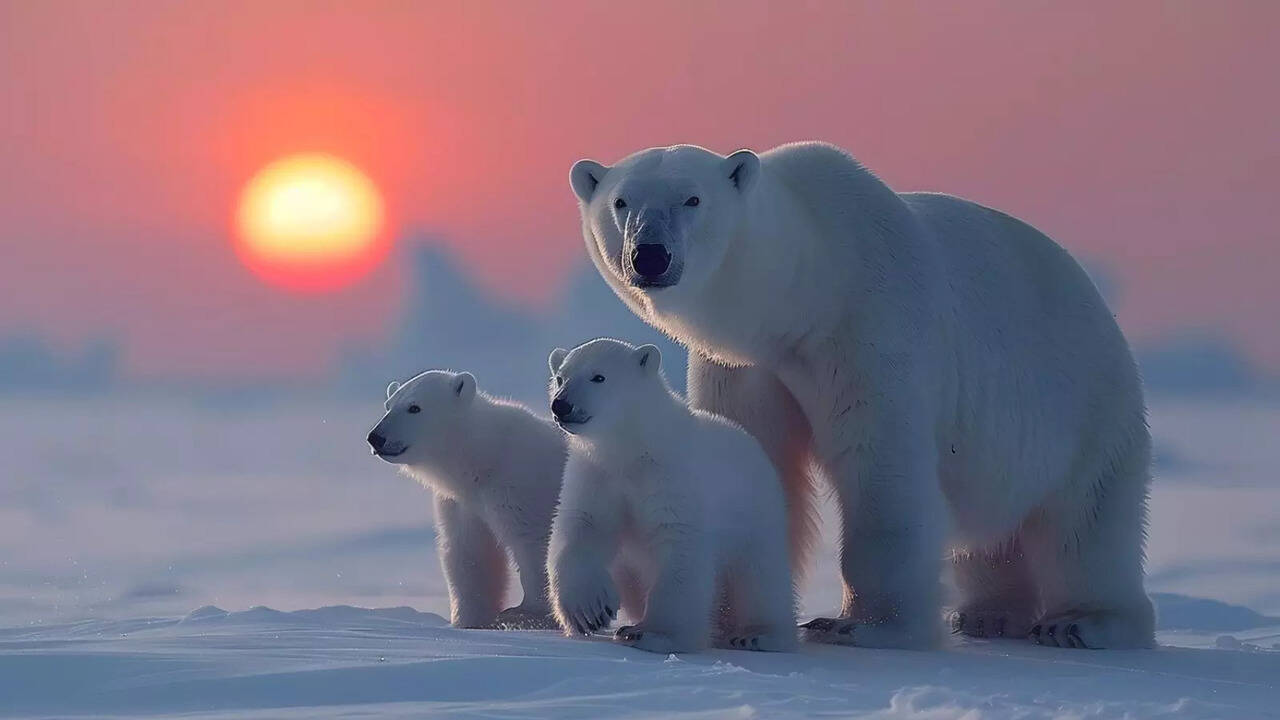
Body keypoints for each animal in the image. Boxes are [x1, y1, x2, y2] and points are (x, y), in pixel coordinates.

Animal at [367, 370, 566, 630]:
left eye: (414, 407)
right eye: (388, 405)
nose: (375, 438)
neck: (485, 455)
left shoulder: (520, 484)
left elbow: (535, 541)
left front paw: (529, 613)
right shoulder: (461, 502)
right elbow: (470, 553)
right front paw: (468, 620)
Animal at [544, 337, 797, 654]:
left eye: (598, 377)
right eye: (560, 377)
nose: (561, 404)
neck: (633, 449)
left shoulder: (671, 477)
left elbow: (679, 545)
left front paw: (652, 634)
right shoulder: (598, 475)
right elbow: (583, 529)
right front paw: (591, 612)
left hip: (755, 514)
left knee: (761, 576)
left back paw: (759, 634)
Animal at [568, 142, 1155, 650]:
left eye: (692, 199)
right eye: (621, 202)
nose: (649, 255)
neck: (809, 287)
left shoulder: (870, 330)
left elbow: (878, 464)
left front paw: (859, 624)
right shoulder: (746, 366)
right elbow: (756, 457)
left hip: (1085, 402)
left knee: (1085, 522)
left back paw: (1082, 622)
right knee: (992, 537)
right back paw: (988, 615)